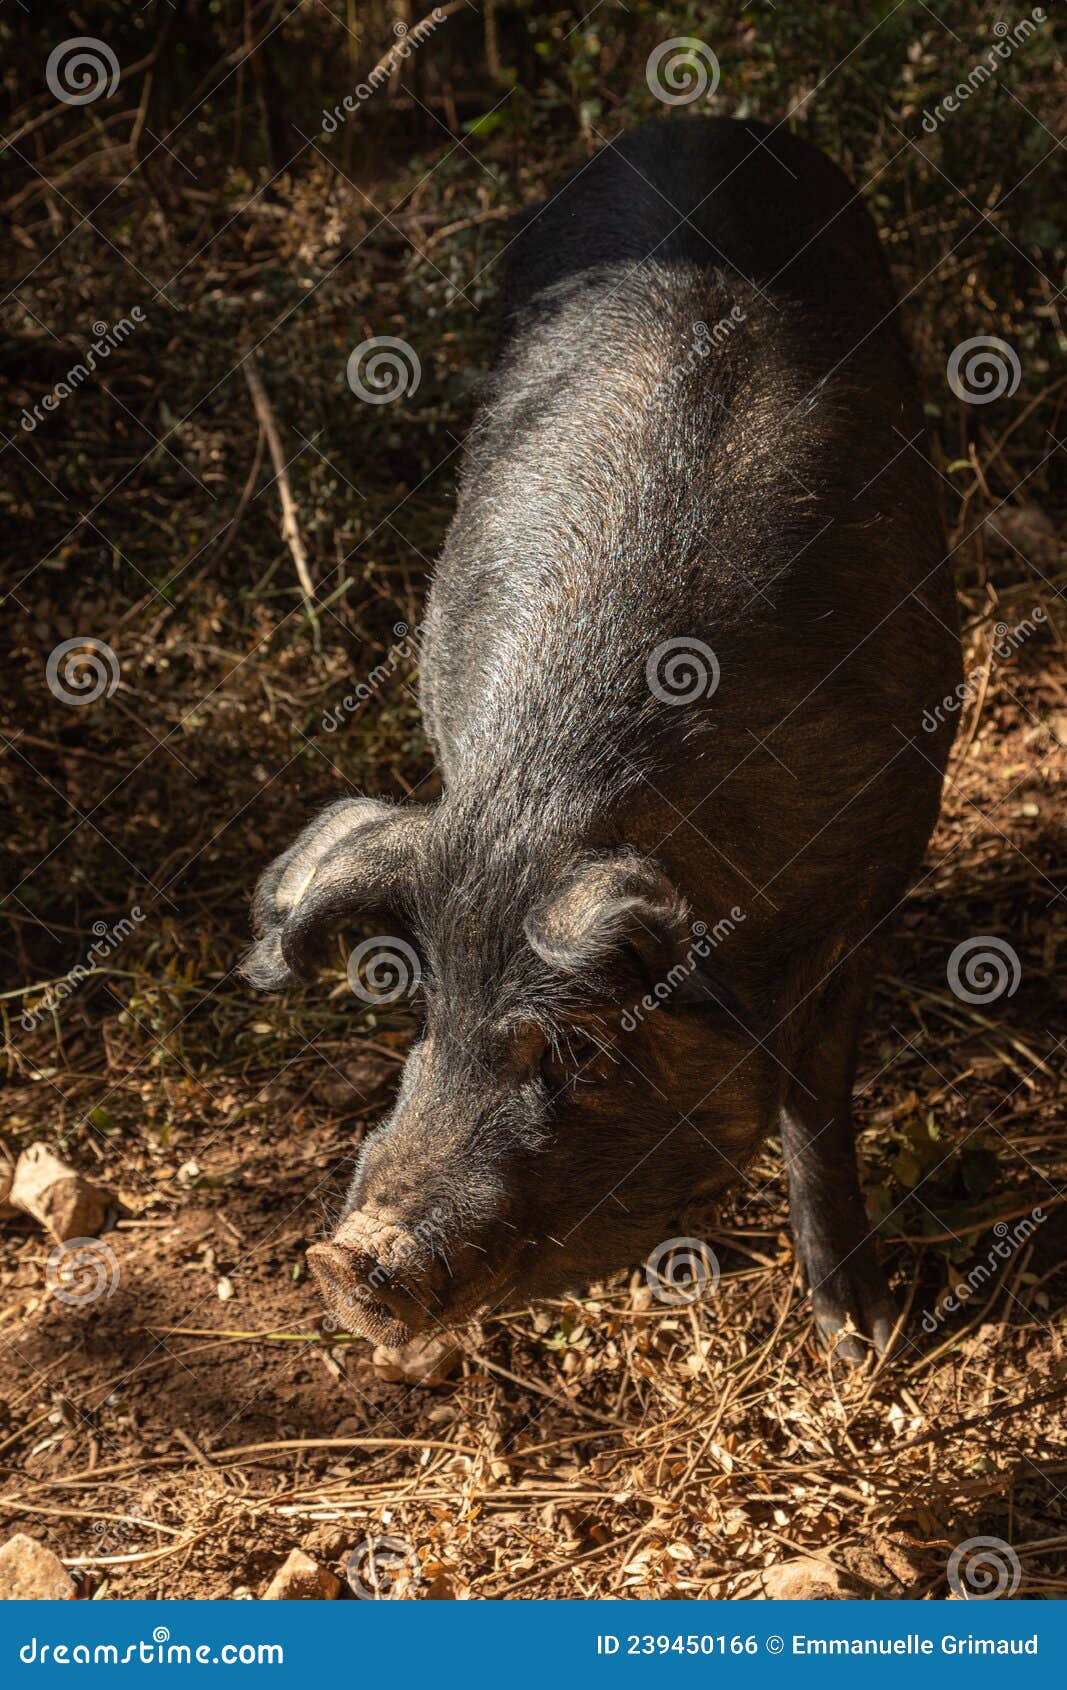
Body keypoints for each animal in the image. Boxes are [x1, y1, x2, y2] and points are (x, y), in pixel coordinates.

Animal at [244, 117, 960, 1362]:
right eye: (425, 1007)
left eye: (573, 1049)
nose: (346, 1261)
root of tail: (695, 120)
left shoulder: (868, 878)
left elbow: (815, 1105)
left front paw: (866, 1342)